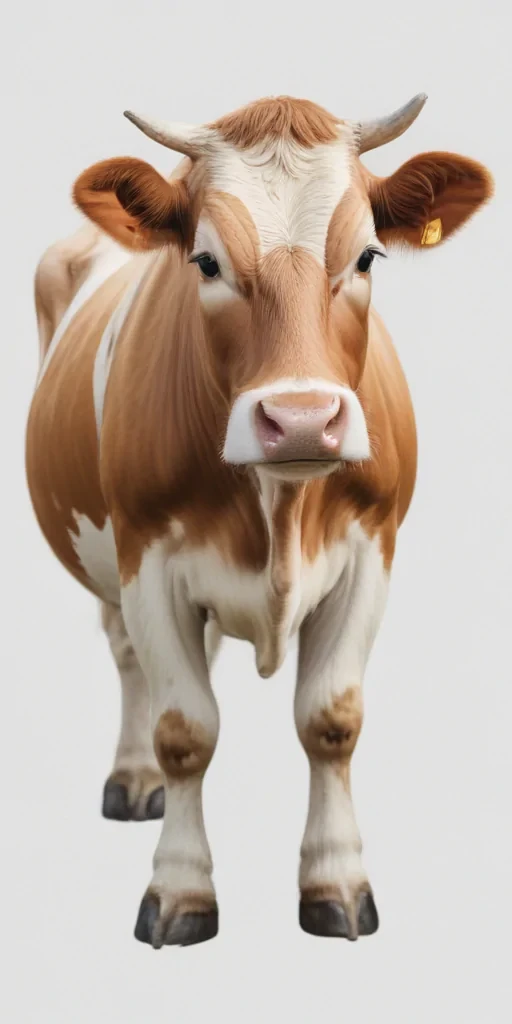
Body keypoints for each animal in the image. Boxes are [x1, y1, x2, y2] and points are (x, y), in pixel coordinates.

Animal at [25, 94, 493, 948]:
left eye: (368, 257)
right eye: (205, 262)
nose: (302, 419)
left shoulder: (372, 551)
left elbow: (331, 719)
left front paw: (336, 881)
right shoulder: (149, 561)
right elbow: (185, 729)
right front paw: (179, 889)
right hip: (110, 562)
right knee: (130, 660)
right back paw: (135, 778)